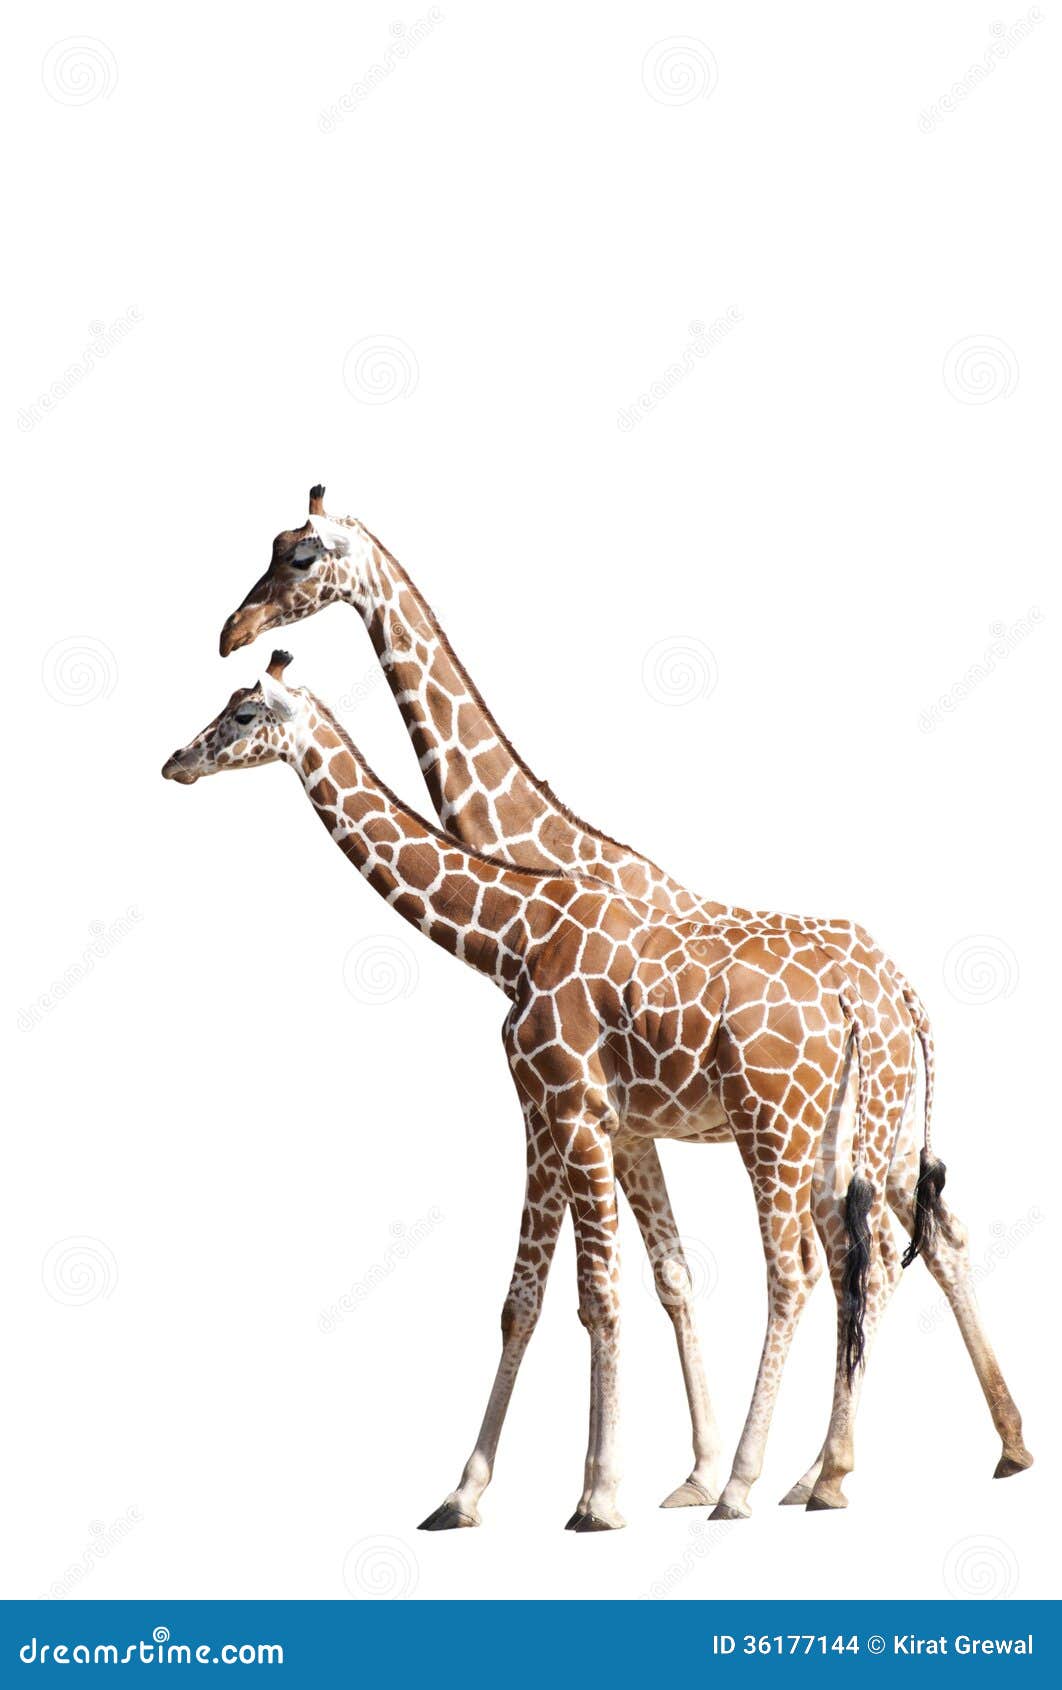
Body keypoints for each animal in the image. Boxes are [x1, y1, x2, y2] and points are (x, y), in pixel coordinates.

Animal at [162, 652, 904, 1529]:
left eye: (243, 716)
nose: (176, 761)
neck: (511, 936)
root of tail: (851, 1001)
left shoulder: (576, 1111)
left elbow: (599, 1294)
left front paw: (599, 1496)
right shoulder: (547, 1115)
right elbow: (525, 1299)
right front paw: (462, 1495)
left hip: (772, 1127)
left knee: (796, 1274)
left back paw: (745, 1487)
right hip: (828, 1137)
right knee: (862, 1265)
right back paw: (825, 1476)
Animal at [217, 488, 1032, 1499]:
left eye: (298, 557)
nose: (230, 630)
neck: (536, 861)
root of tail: (903, 990)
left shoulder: (591, 1107)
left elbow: (623, 1279)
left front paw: (650, 1480)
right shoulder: (631, 1123)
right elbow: (672, 1274)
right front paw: (691, 1472)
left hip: (831, 1131)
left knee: (868, 1257)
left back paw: (817, 1472)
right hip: (877, 1128)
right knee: (926, 1239)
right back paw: (967, 1449)